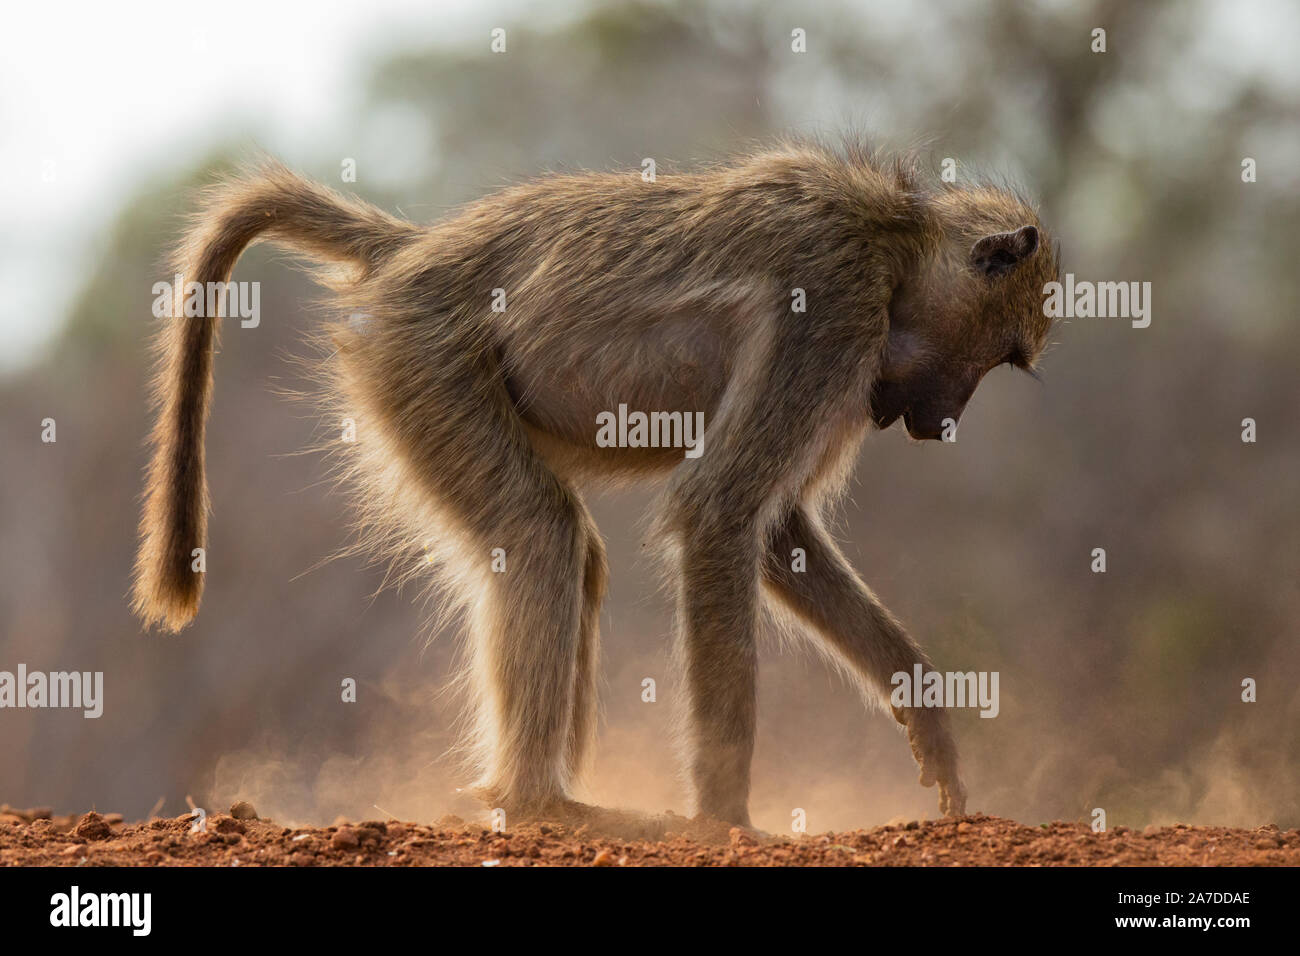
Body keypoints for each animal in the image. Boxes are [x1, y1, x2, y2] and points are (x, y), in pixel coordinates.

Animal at [132, 138, 1058, 828]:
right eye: (1003, 354)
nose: (944, 424)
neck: (896, 239)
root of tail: (411, 250)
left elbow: (776, 534)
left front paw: (923, 709)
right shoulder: (831, 309)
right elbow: (719, 515)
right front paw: (724, 819)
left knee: (569, 550)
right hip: (419, 359)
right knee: (539, 532)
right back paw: (535, 802)